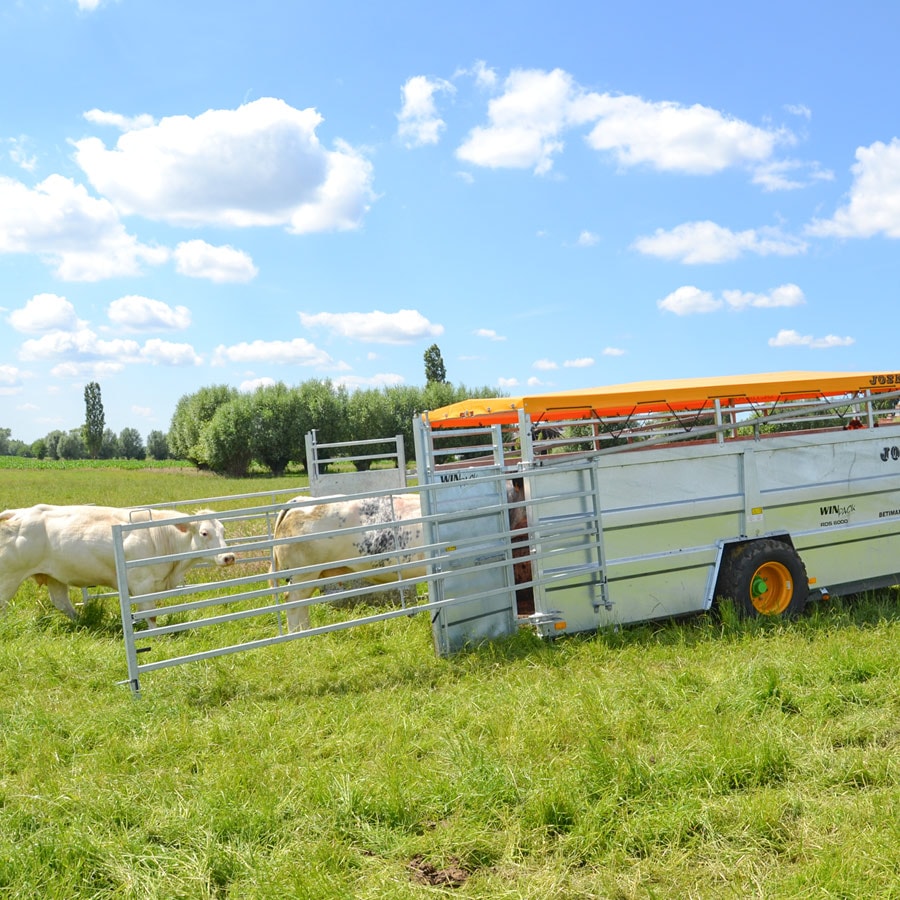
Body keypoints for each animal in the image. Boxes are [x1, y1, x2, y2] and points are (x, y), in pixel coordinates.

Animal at [0, 504, 235, 622]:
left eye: (223, 531)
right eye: (204, 533)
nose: (229, 557)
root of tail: (20, 512)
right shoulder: (142, 585)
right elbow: (150, 615)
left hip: (55, 576)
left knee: (61, 602)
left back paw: (82, 622)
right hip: (8, 579)